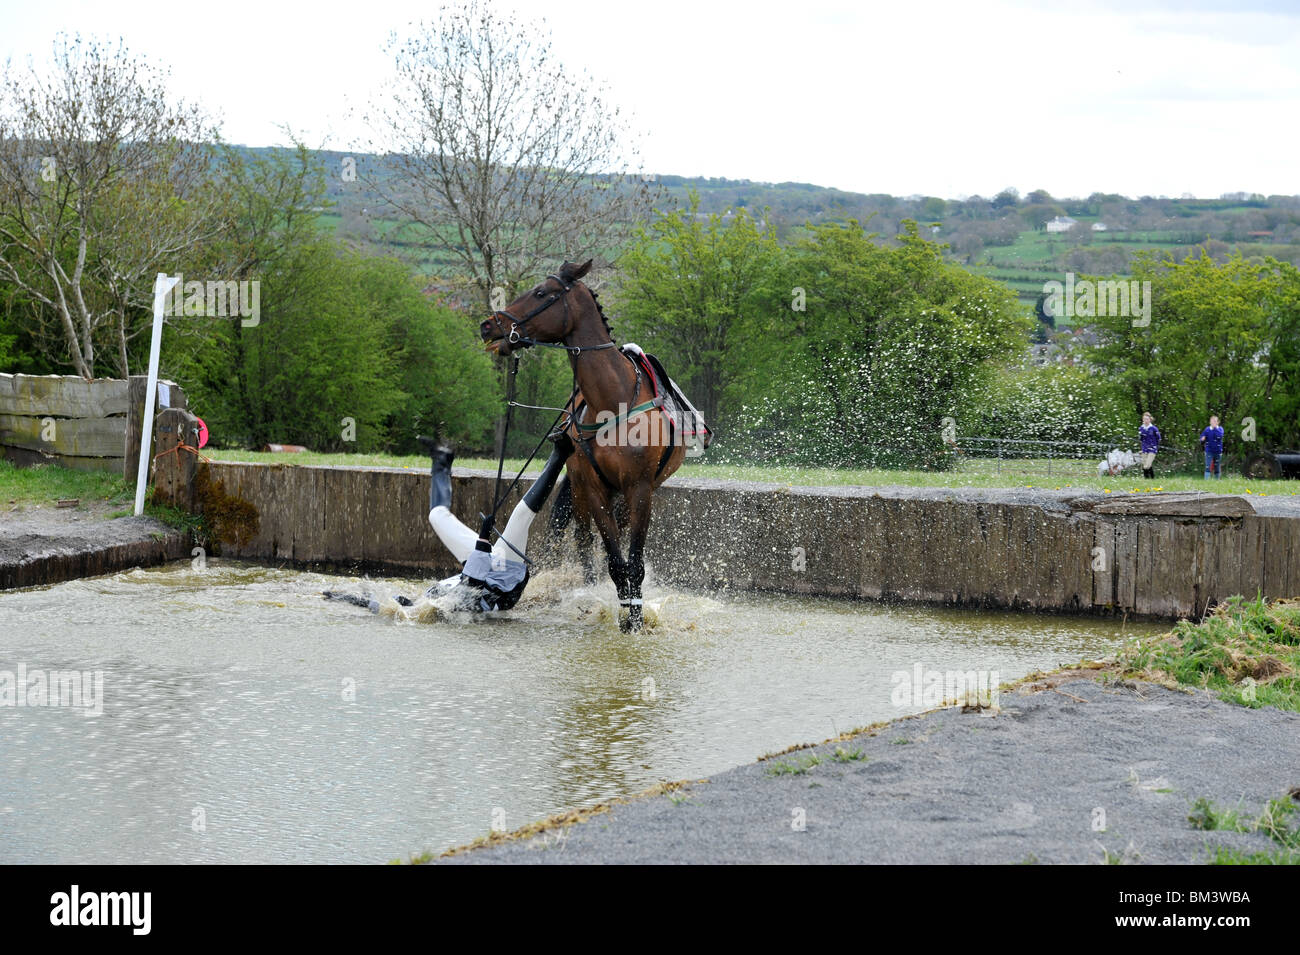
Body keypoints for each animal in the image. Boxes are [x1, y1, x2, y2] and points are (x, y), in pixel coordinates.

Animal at [479, 259, 686, 631]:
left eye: (541, 292)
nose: (487, 325)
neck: (613, 400)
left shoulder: (640, 487)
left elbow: (633, 563)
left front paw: (634, 619)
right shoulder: (592, 486)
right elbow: (614, 561)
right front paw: (622, 614)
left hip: (629, 494)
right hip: (580, 487)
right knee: (585, 540)